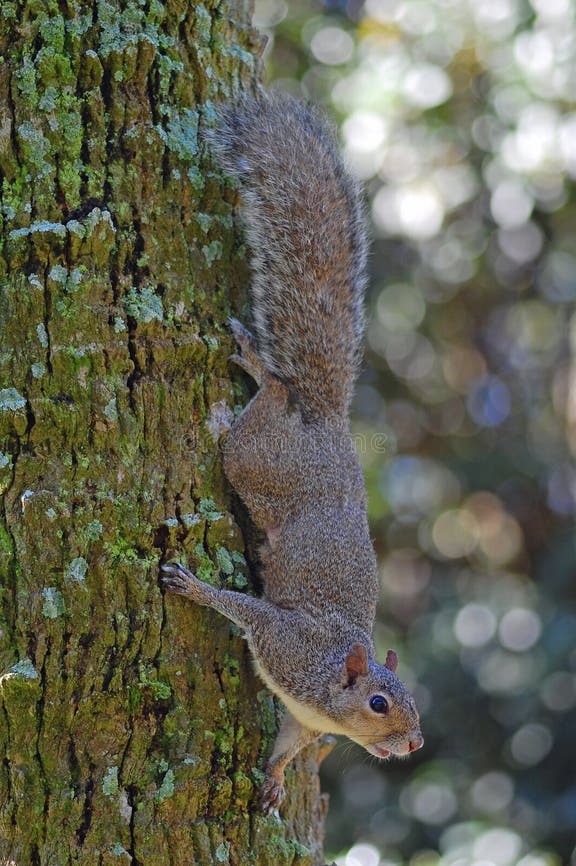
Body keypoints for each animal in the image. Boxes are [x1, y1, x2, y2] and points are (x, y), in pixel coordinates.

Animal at [162, 91, 423, 812]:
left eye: (417, 704)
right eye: (380, 702)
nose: (415, 744)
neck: (328, 685)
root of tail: (324, 418)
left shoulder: (303, 719)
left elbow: (288, 744)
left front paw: (276, 781)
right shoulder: (285, 641)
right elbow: (242, 609)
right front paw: (192, 586)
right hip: (260, 461)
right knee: (268, 400)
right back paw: (255, 375)